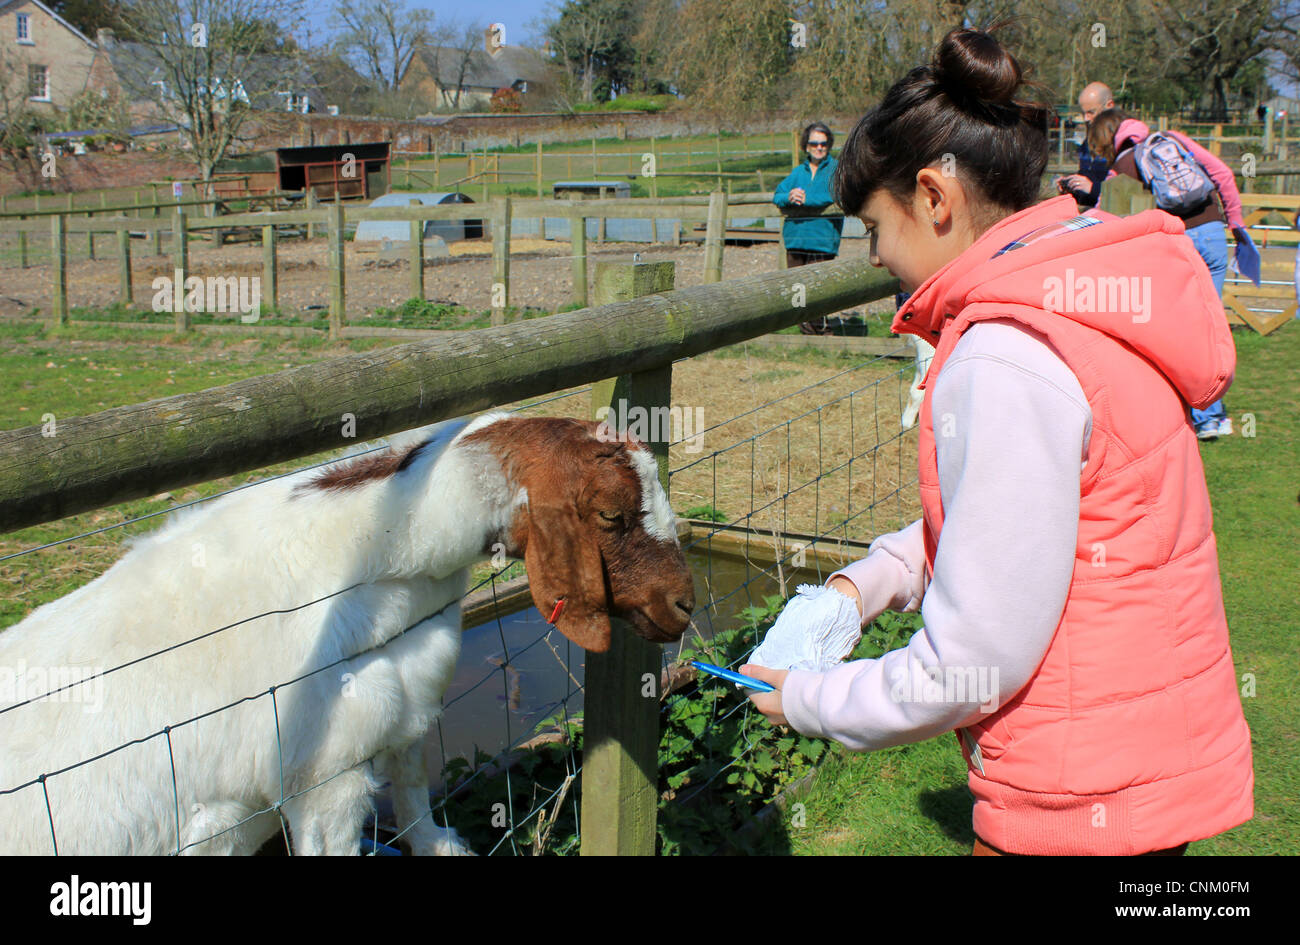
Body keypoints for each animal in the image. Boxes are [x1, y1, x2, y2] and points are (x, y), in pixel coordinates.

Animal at [0, 412, 696, 855]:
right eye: (610, 513)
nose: (683, 604)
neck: (371, 559)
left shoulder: (403, 697)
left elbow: (412, 780)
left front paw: (438, 844)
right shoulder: (323, 779)